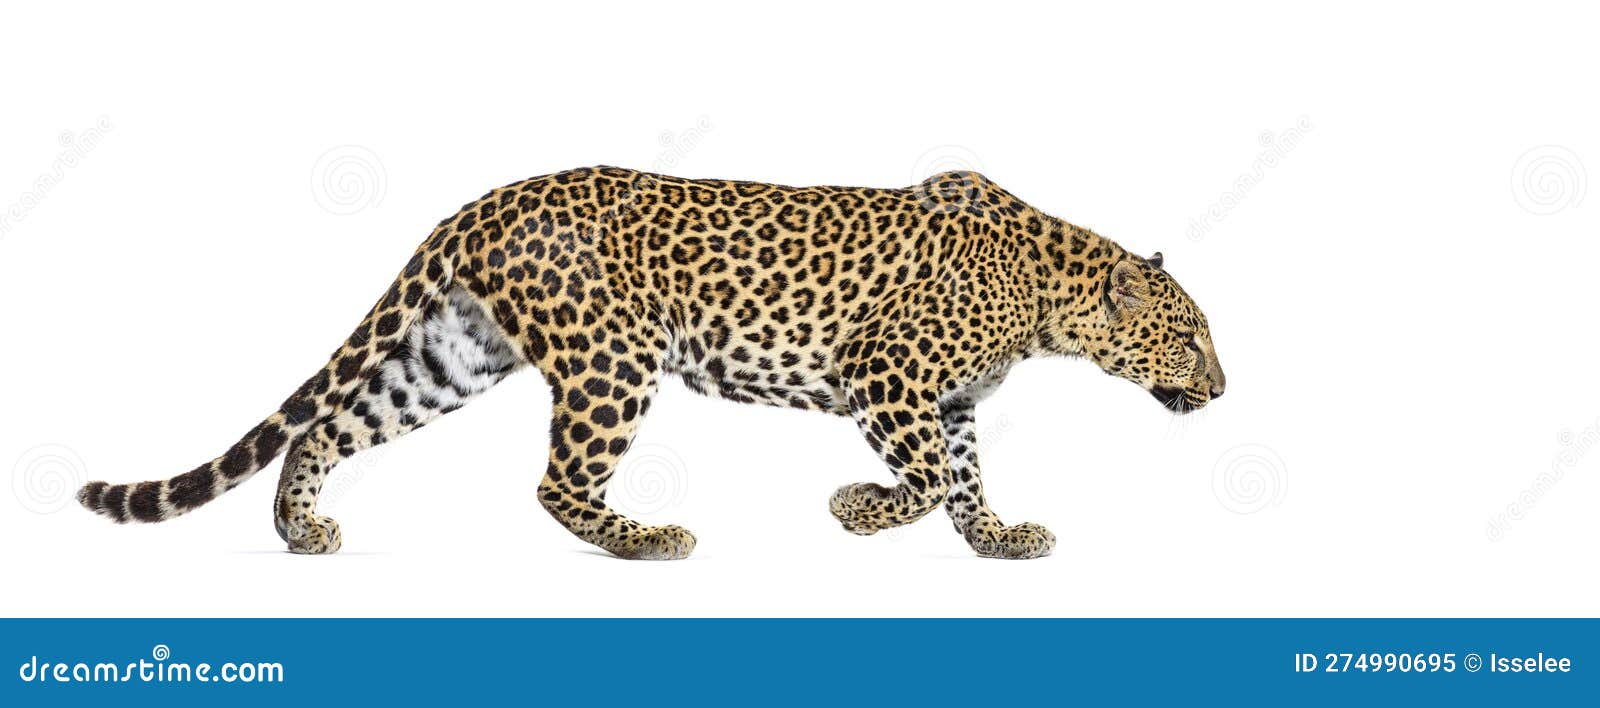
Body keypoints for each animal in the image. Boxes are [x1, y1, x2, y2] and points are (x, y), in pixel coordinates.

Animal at [76, 166, 1225, 560]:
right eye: (1188, 337)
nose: (1220, 390)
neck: (1050, 297)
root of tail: (485, 200)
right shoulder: (886, 374)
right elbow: (931, 477)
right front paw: (855, 509)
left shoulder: (944, 399)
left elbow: (966, 477)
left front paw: (998, 540)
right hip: (612, 360)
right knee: (554, 483)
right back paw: (647, 541)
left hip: (454, 354)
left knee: (327, 423)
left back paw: (298, 529)